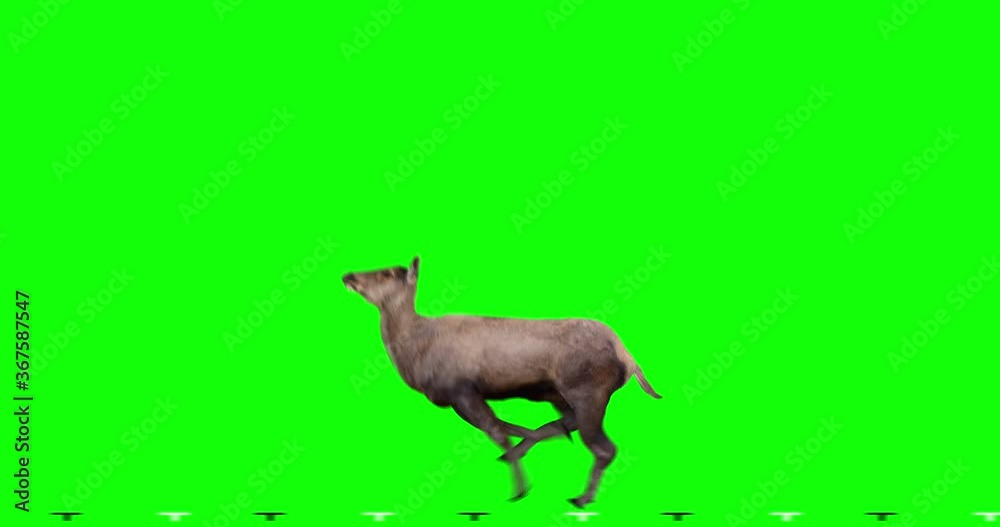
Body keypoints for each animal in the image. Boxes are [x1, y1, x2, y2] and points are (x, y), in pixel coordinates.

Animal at [342, 257, 661, 508]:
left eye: (387, 273)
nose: (348, 276)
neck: (414, 353)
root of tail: (629, 359)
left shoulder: (460, 390)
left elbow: (497, 431)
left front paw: (520, 490)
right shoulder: (466, 396)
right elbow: (503, 427)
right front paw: (520, 456)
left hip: (587, 390)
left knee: (604, 447)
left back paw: (582, 497)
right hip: (559, 393)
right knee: (572, 425)